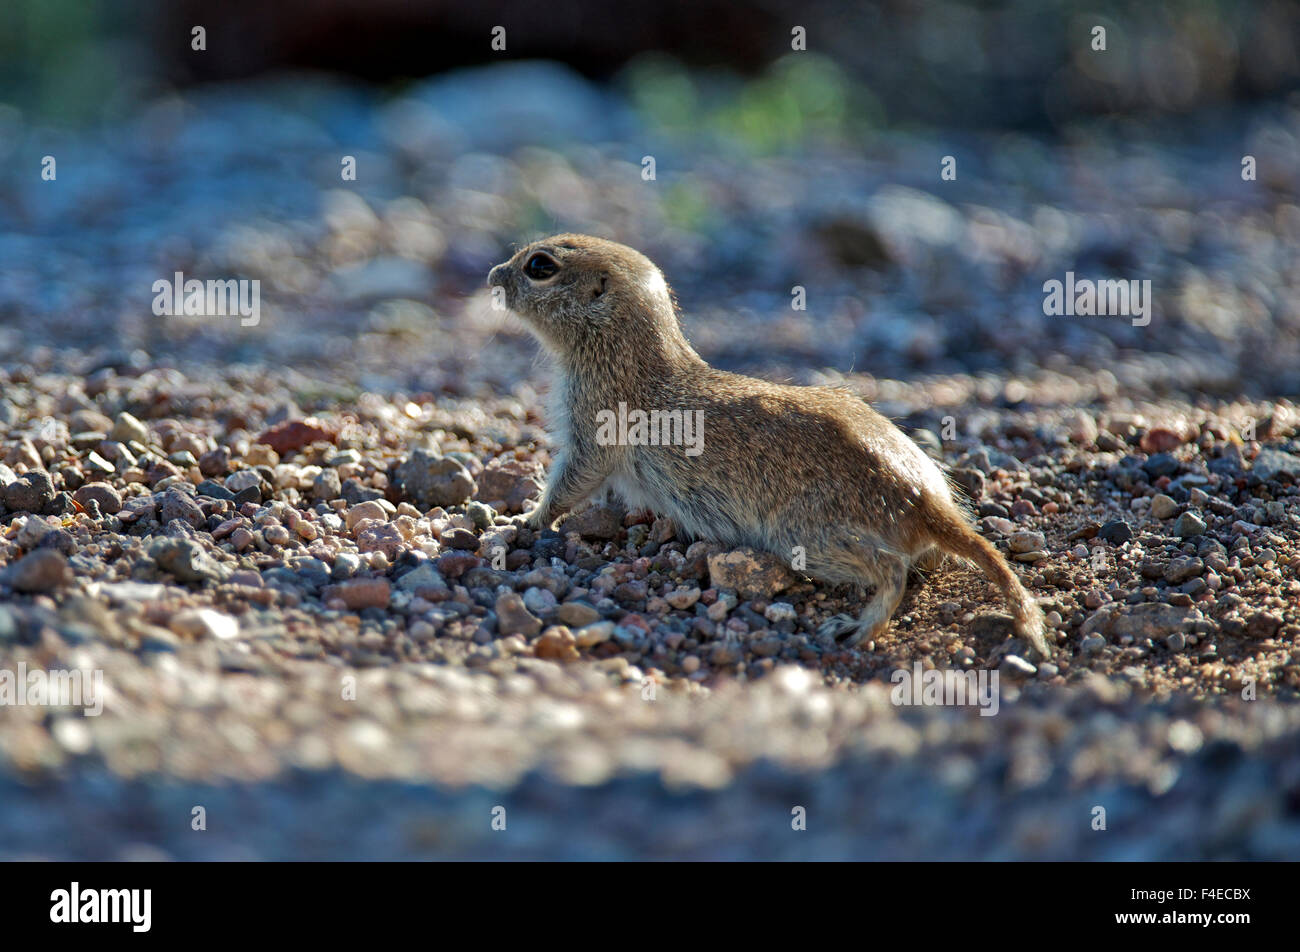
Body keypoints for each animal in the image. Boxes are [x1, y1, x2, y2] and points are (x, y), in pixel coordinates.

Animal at [488, 234, 1050, 658]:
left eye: (540, 266)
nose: (494, 274)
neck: (624, 352)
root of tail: (925, 502)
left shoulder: (593, 423)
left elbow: (575, 478)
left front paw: (522, 519)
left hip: (806, 534)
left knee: (890, 570)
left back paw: (860, 627)